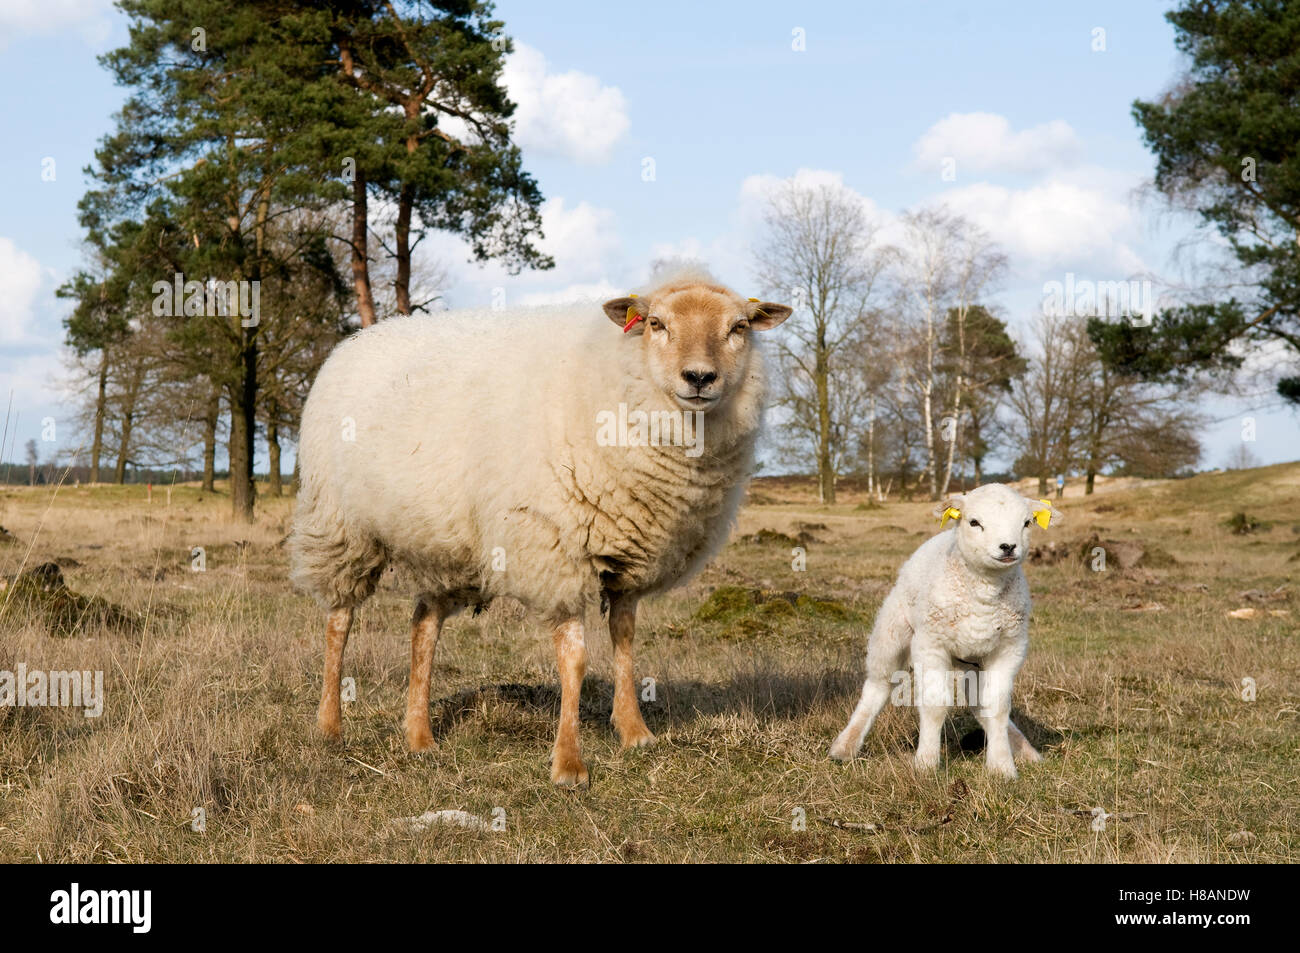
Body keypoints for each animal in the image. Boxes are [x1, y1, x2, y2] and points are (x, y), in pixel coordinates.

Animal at [288, 268, 791, 786]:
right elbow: (575, 658)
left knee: (423, 625)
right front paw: (569, 763)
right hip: (339, 526)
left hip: (445, 542)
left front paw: (635, 732)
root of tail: (355, 341)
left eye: (739, 328)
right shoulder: (556, 552)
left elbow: (625, 641)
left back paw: (420, 737)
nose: (699, 378)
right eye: (656, 324)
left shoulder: (630, 558)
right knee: (339, 620)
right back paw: (329, 727)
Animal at [829, 483, 1054, 778]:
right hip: (892, 633)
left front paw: (1001, 766)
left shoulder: (1009, 649)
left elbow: (997, 708)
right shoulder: (930, 645)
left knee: (978, 704)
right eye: (974, 522)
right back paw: (845, 746)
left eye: (1027, 523)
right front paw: (926, 764)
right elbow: (934, 705)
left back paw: (1023, 749)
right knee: (878, 687)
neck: (985, 590)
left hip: (973, 661)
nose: (1008, 546)